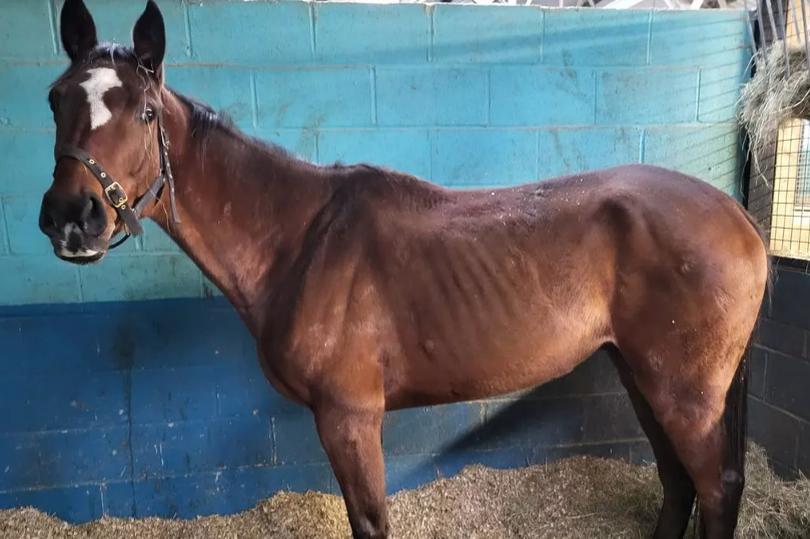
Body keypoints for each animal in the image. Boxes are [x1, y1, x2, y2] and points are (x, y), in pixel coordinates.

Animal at [36, 1, 769, 538]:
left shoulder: (350, 419)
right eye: (53, 99)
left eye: (145, 112)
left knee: (715, 485)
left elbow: (371, 522)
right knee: (678, 480)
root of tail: (740, 222)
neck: (299, 239)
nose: (72, 218)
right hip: (639, 374)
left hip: (684, 391)